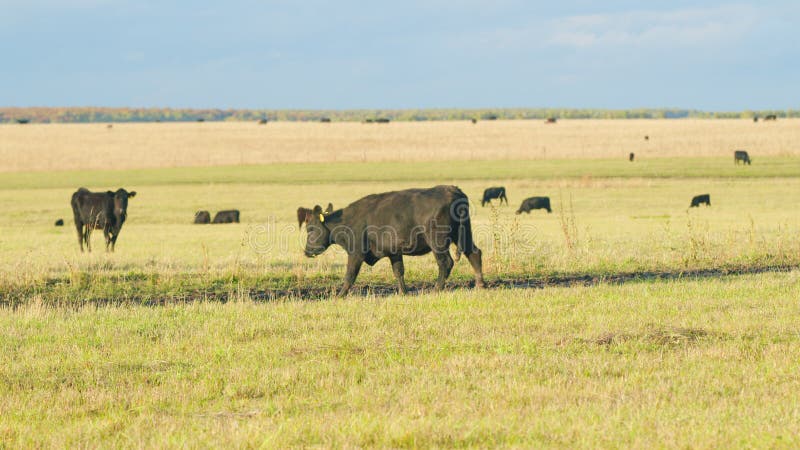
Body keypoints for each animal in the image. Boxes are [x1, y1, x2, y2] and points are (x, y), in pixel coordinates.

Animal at [303, 185, 485, 295]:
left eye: (310, 228)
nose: (307, 251)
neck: (347, 221)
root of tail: (453, 190)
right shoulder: (394, 252)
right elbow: (398, 271)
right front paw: (404, 292)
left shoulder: (356, 253)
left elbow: (350, 275)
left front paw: (339, 295)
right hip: (464, 234)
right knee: (474, 253)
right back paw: (480, 284)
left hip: (438, 242)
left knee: (446, 262)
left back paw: (437, 289)